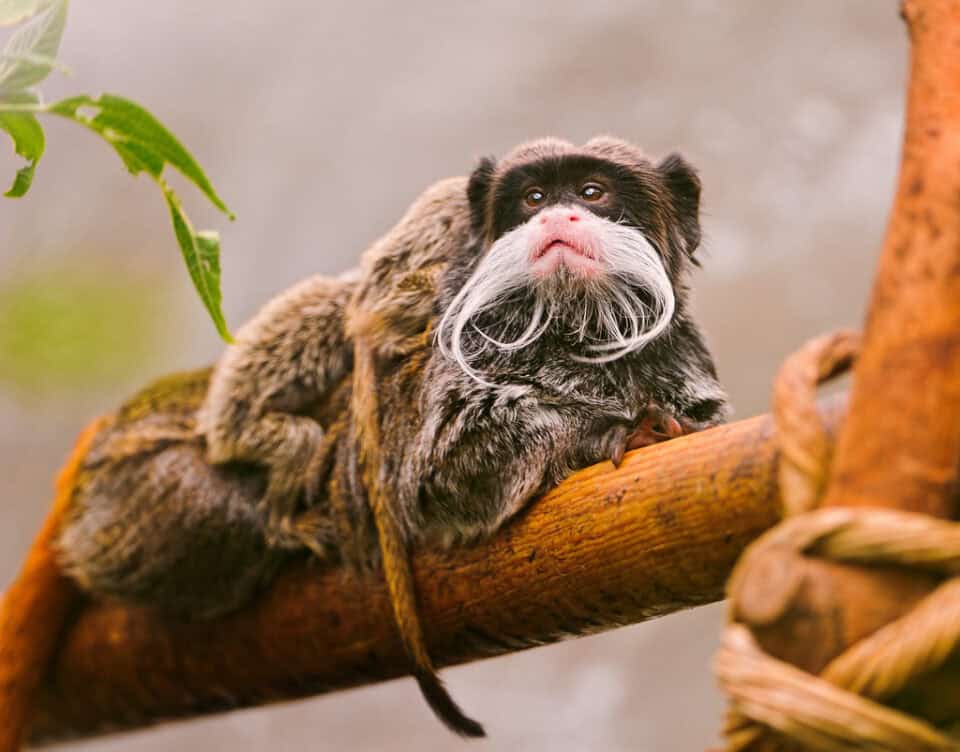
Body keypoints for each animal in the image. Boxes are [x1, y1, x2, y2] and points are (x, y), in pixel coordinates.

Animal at [0, 136, 728, 748]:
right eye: (534, 199)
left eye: (592, 193)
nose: (557, 218)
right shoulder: (459, 365)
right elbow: (448, 478)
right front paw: (617, 430)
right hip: (136, 499)